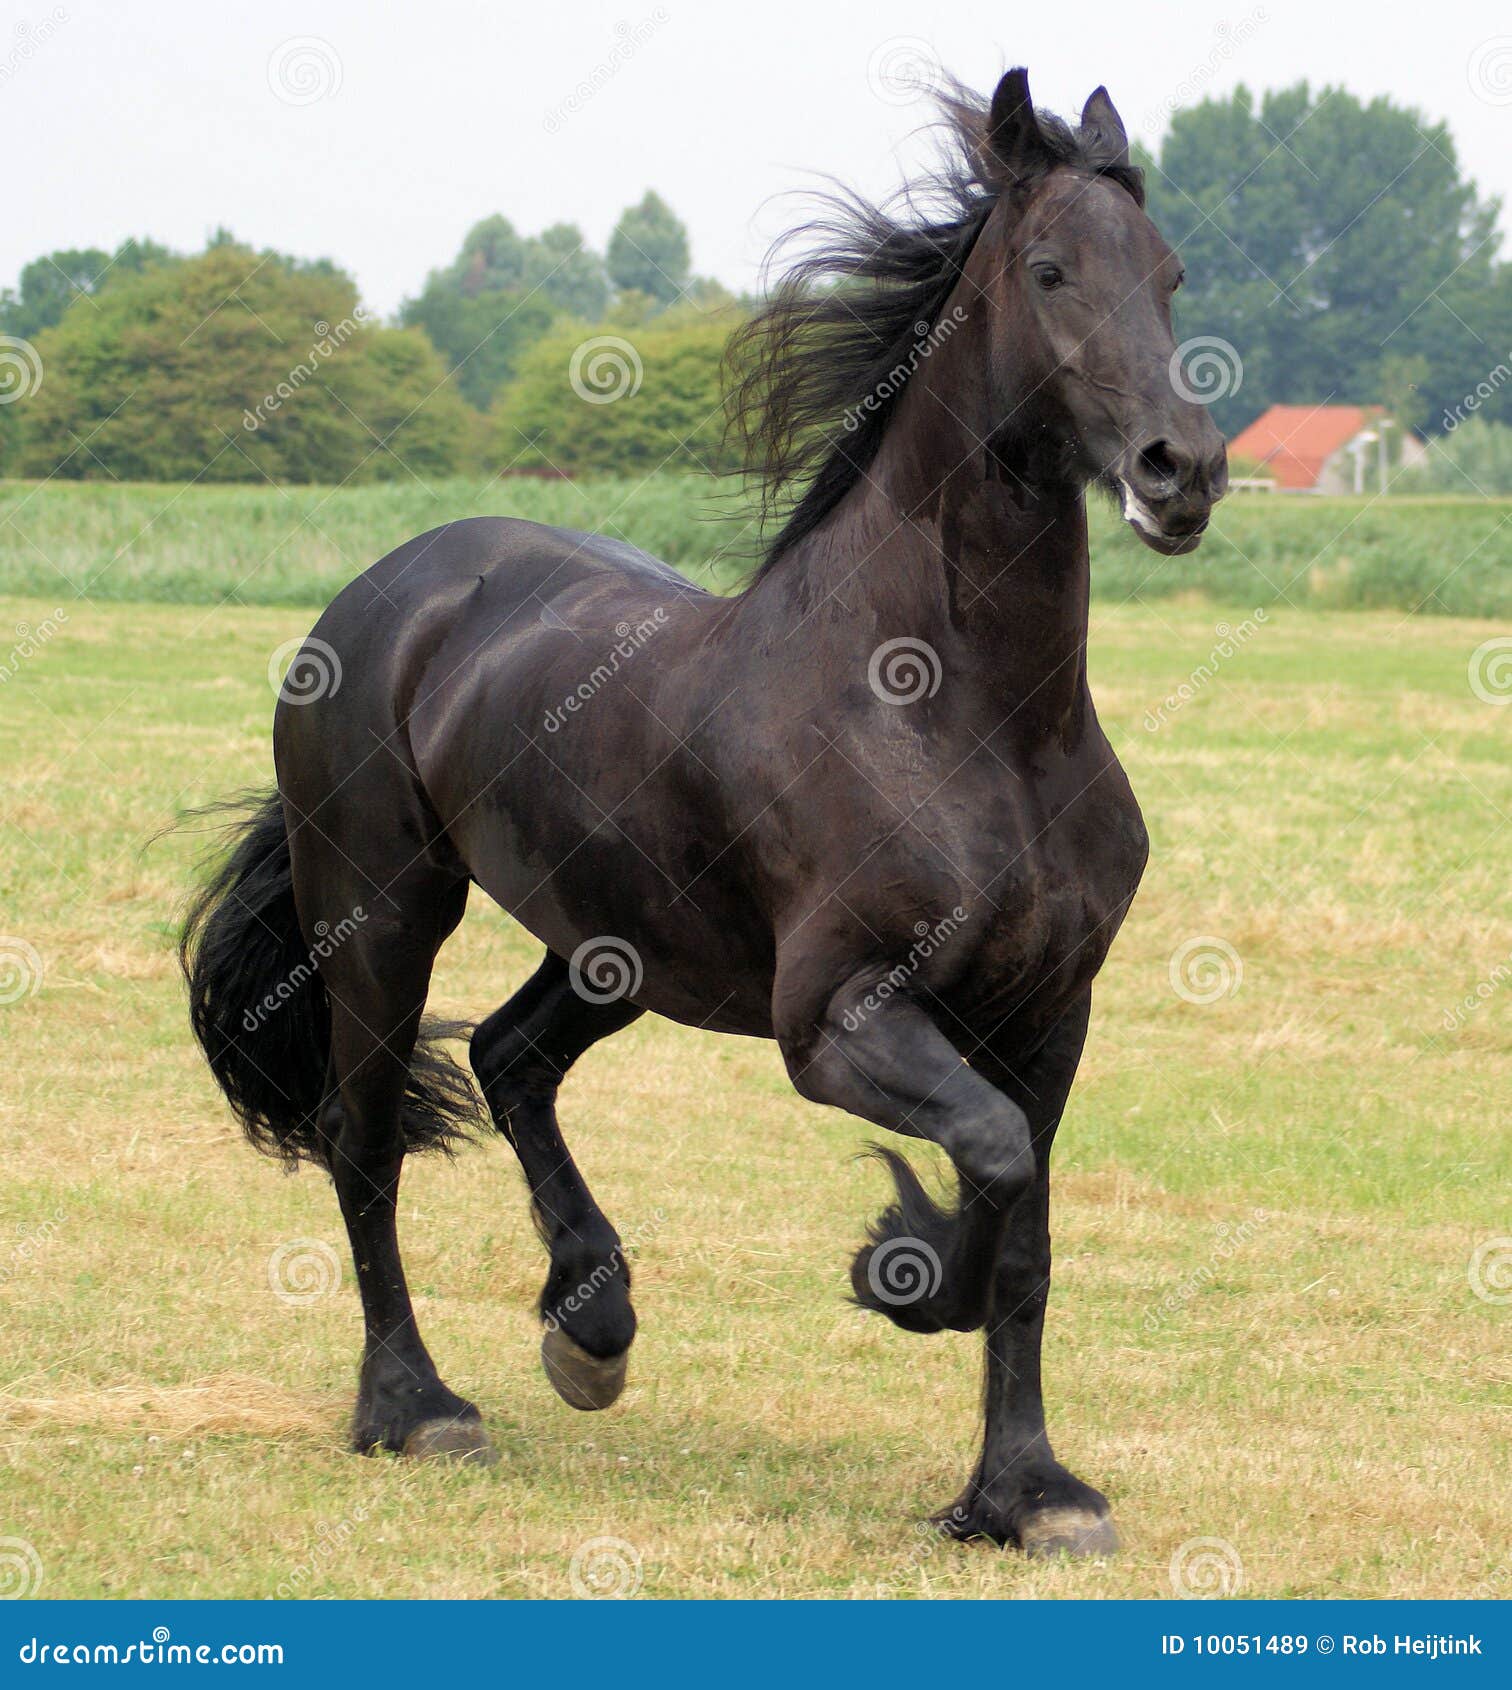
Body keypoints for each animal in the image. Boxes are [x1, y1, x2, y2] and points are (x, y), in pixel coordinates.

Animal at [182, 66, 1226, 1557]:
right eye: (1050, 270)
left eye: (1170, 273)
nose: (1178, 470)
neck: (962, 716)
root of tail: (386, 591)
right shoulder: (836, 1018)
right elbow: (988, 1156)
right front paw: (905, 1268)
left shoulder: (1051, 1014)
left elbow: (1025, 1224)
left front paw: (1025, 1492)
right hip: (382, 915)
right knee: (362, 1136)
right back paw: (415, 1406)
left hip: (618, 946)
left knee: (509, 1055)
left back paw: (591, 1324)